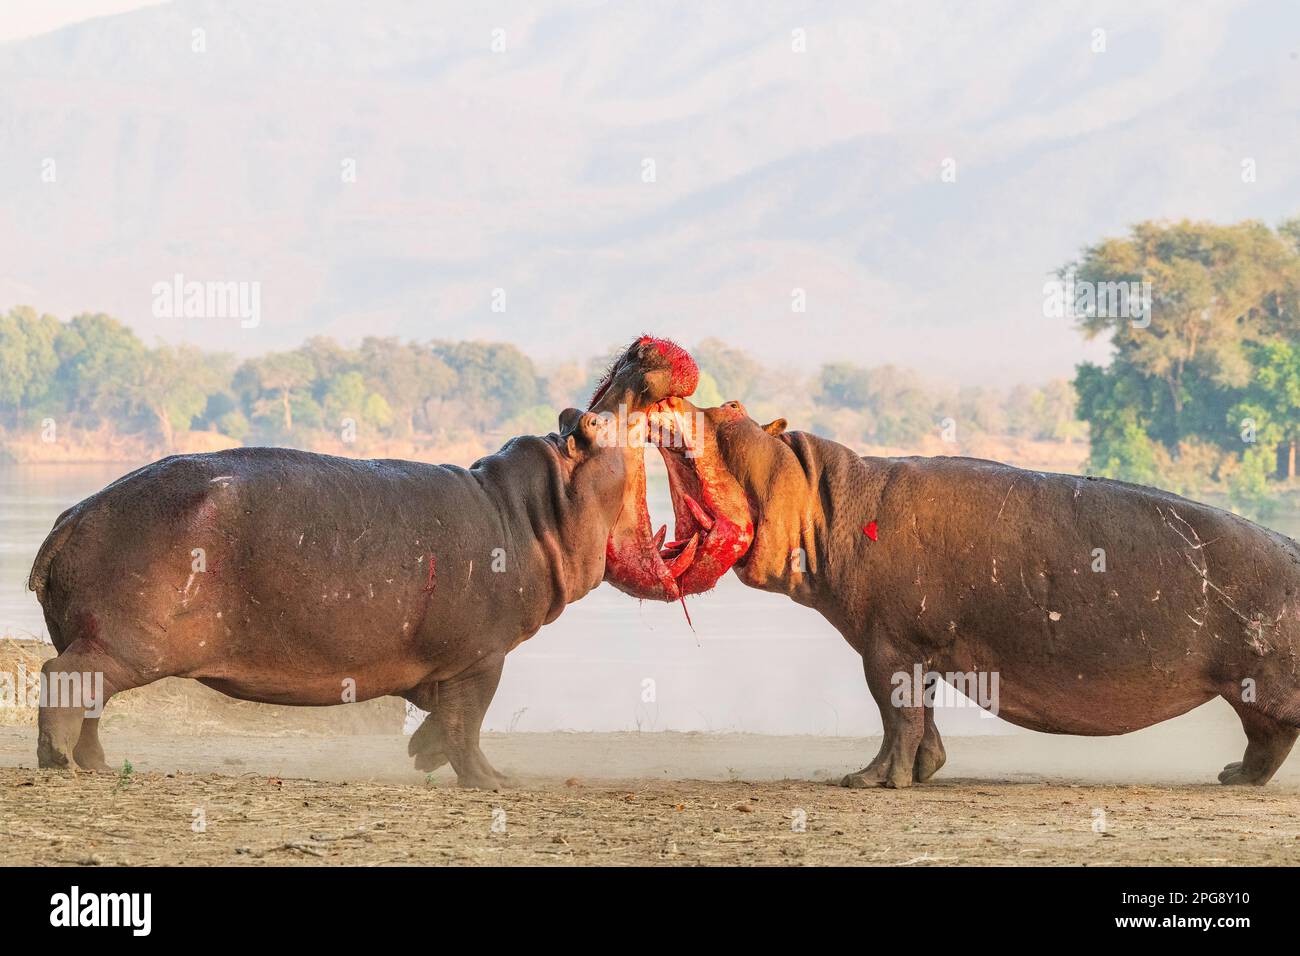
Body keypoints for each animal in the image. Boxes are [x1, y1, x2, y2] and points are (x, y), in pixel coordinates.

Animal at [27, 336, 694, 787]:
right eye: (590, 423)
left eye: (569, 416)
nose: (642, 348)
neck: (535, 510)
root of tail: (71, 518)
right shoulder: (481, 658)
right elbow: (468, 723)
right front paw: (493, 781)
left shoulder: (453, 662)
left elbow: (444, 720)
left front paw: (422, 754)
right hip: (124, 642)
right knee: (63, 678)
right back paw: (61, 763)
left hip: (108, 643)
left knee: (87, 698)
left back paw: (96, 764)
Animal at [628, 393, 1300, 788]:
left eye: (728, 410)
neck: (818, 493)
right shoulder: (913, 648)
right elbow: (920, 715)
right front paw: (922, 773)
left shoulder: (887, 646)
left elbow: (895, 713)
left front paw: (867, 782)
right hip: (1248, 692)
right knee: (1264, 741)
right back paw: (1232, 777)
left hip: (1263, 683)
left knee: (1275, 732)